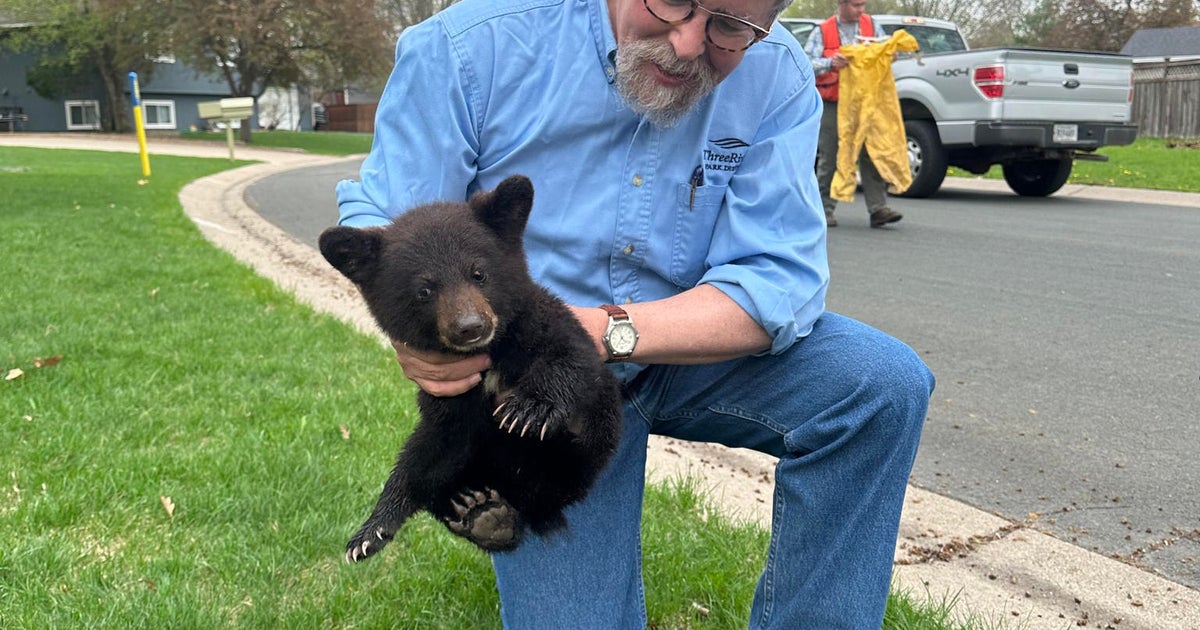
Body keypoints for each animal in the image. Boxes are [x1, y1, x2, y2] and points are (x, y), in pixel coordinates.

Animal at [319, 175, 622, 560]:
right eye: (424, 290)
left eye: (479, 273)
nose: (470, 326)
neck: (488, 355)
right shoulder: (448, 400)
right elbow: (425, 456)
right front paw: (369, 532)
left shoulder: (540, 319)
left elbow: (571, 354)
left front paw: (529, 408)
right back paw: (484, 516)